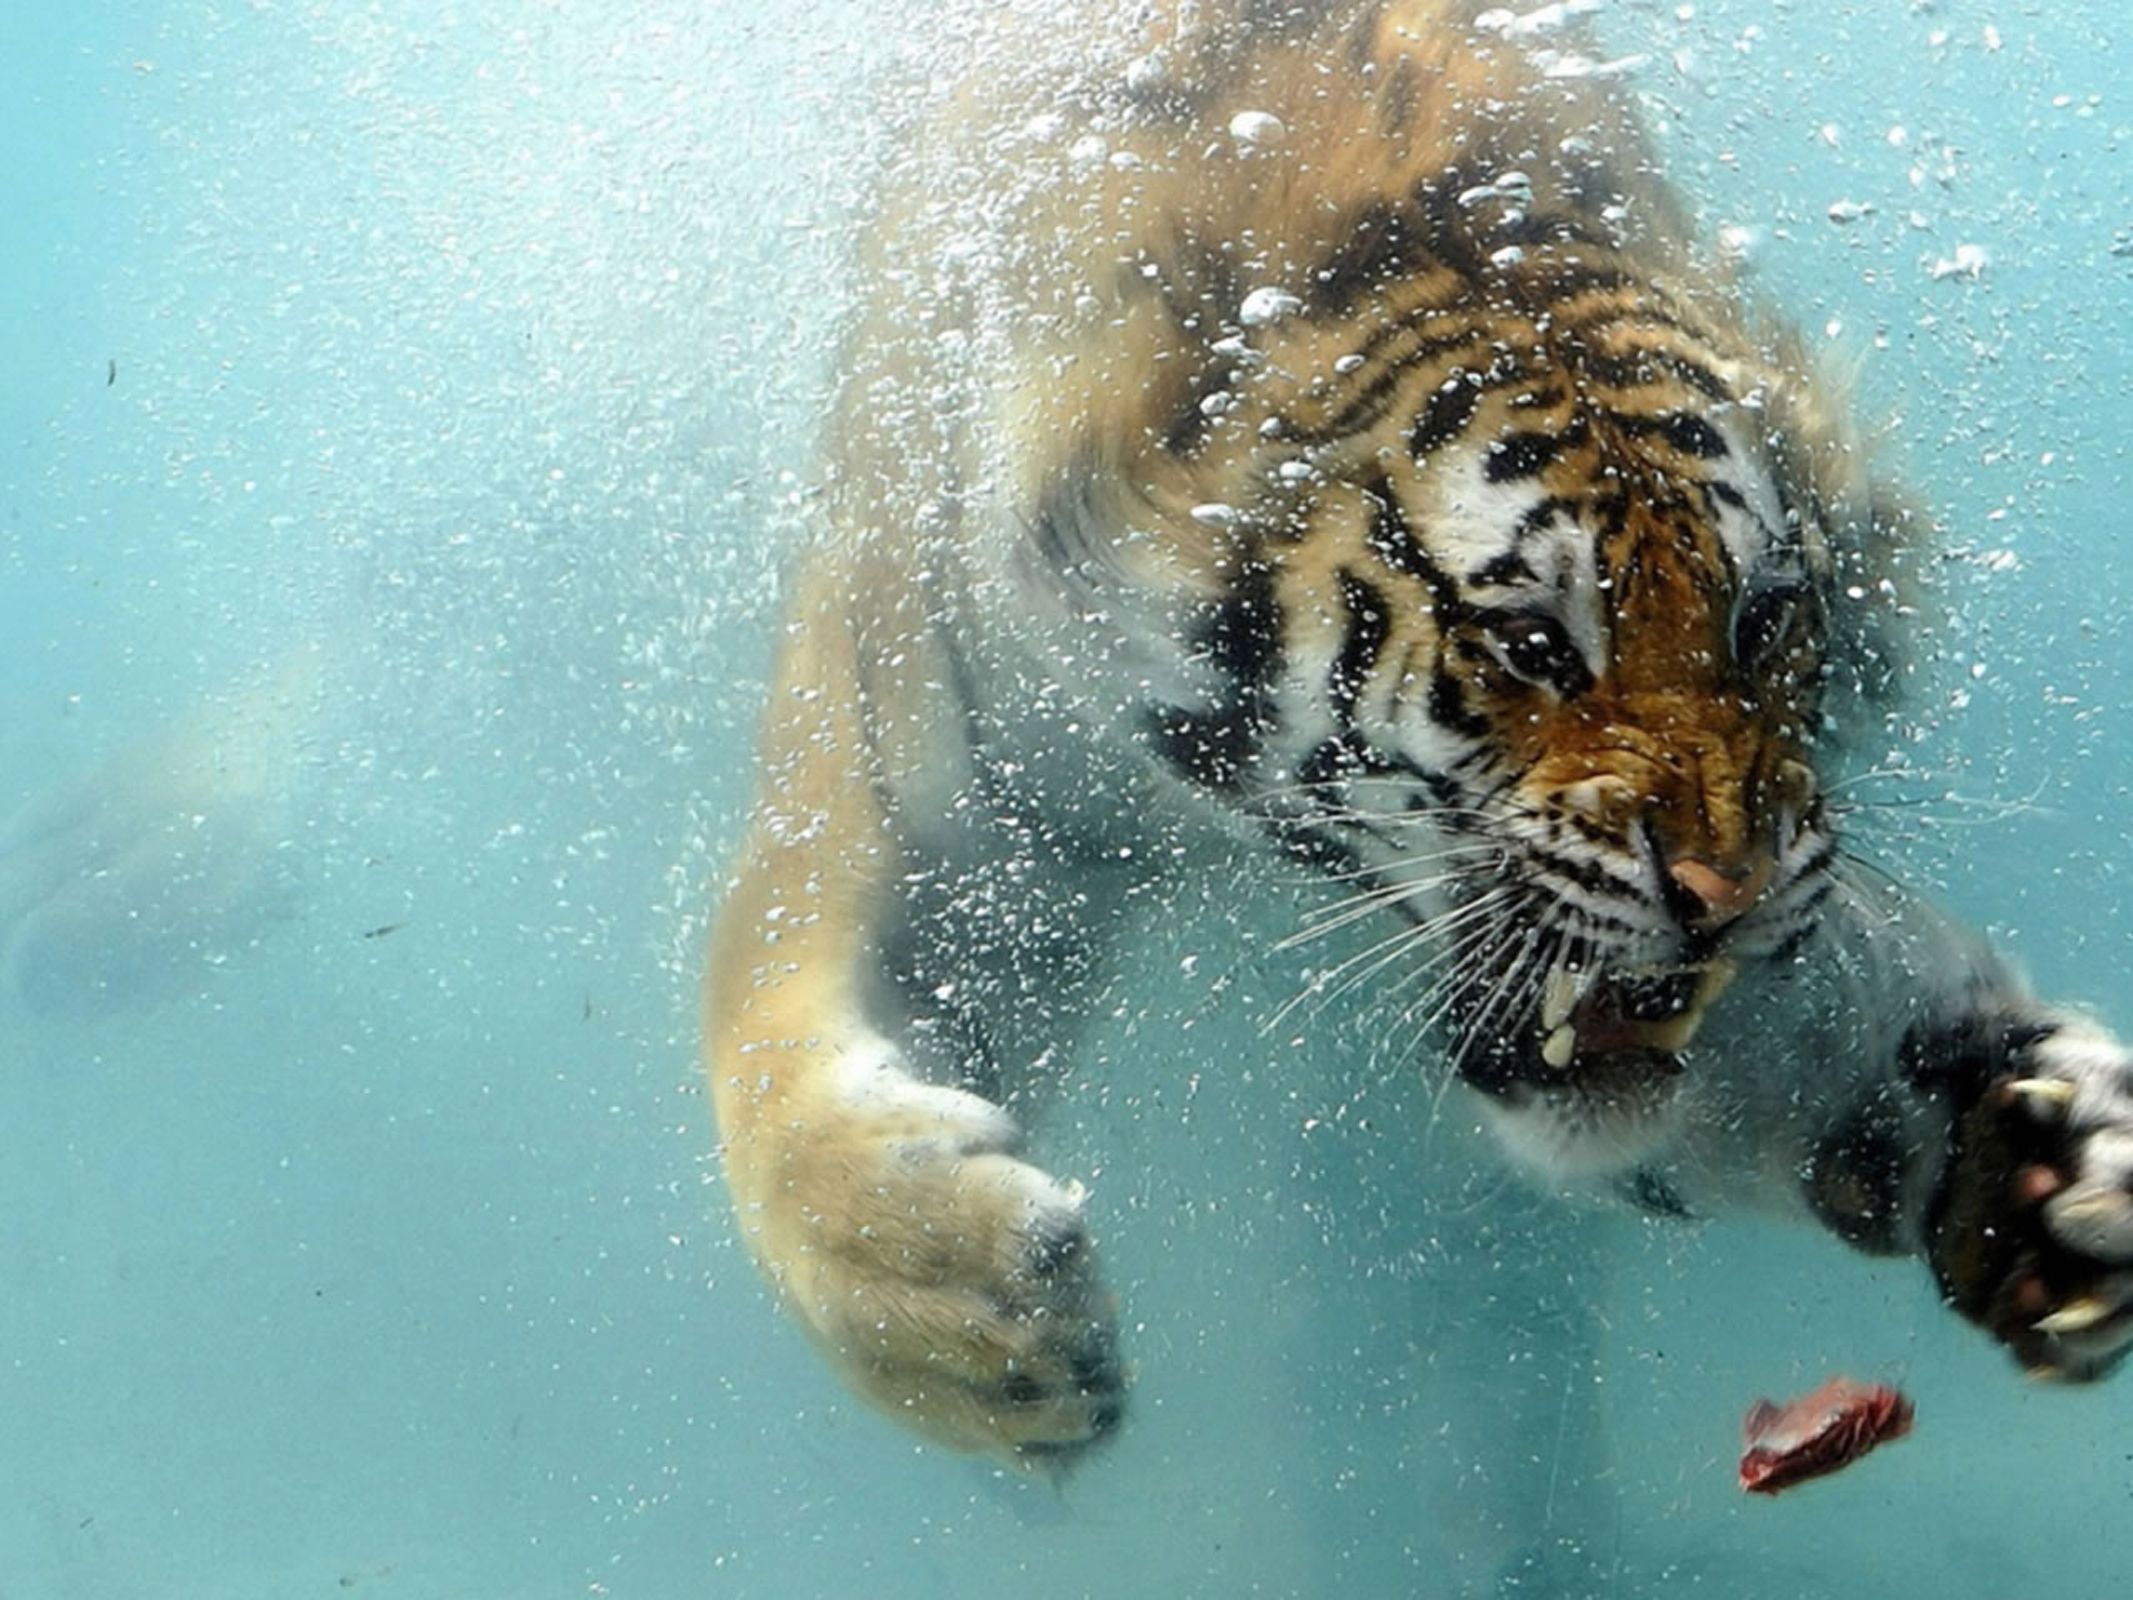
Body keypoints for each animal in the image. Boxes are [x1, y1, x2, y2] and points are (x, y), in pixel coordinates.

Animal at [704, 0, 2133, 1492]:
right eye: (1533, 644)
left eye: (1764, 619)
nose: (1727, 894)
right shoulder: (937, 822)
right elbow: (765, 1059)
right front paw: (972, 1314)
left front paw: (2036, 1160)